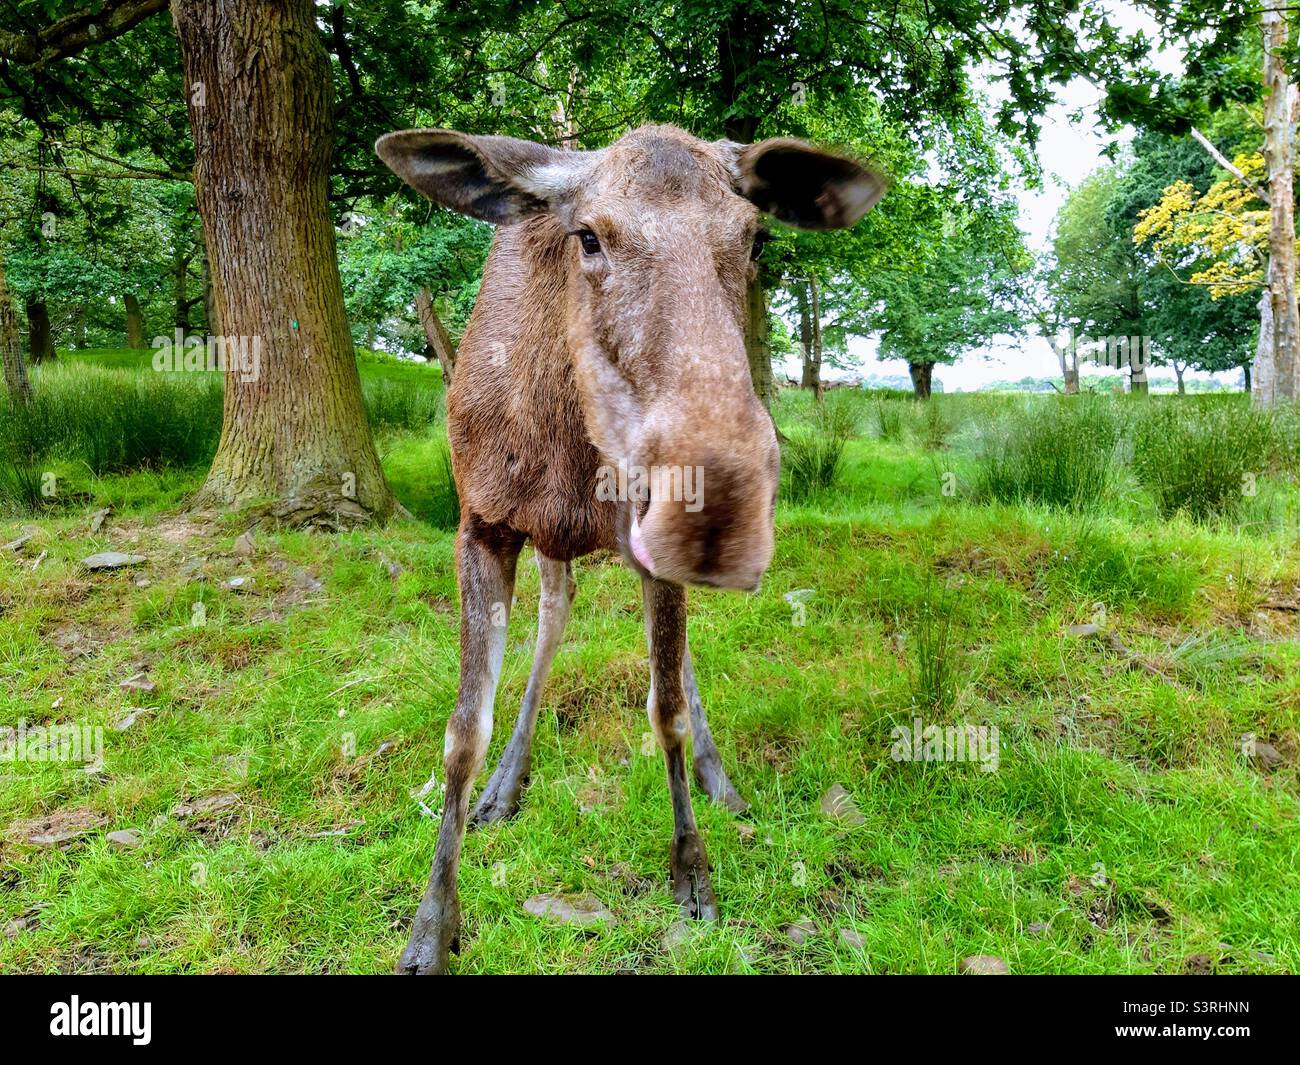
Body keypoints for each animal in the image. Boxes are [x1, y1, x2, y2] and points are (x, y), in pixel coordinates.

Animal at [376, 123, 884, 974]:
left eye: (754, 238)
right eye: (588, 235)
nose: (719, 485)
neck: (563, 440)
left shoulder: (646, 541)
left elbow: (666, 706)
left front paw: (693, 872)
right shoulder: (479, 521)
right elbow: (462, 732)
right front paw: (431, 927)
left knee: (666, 660)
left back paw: (718, 778)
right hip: (547, 542)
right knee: (556, 615)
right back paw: (508, 782)